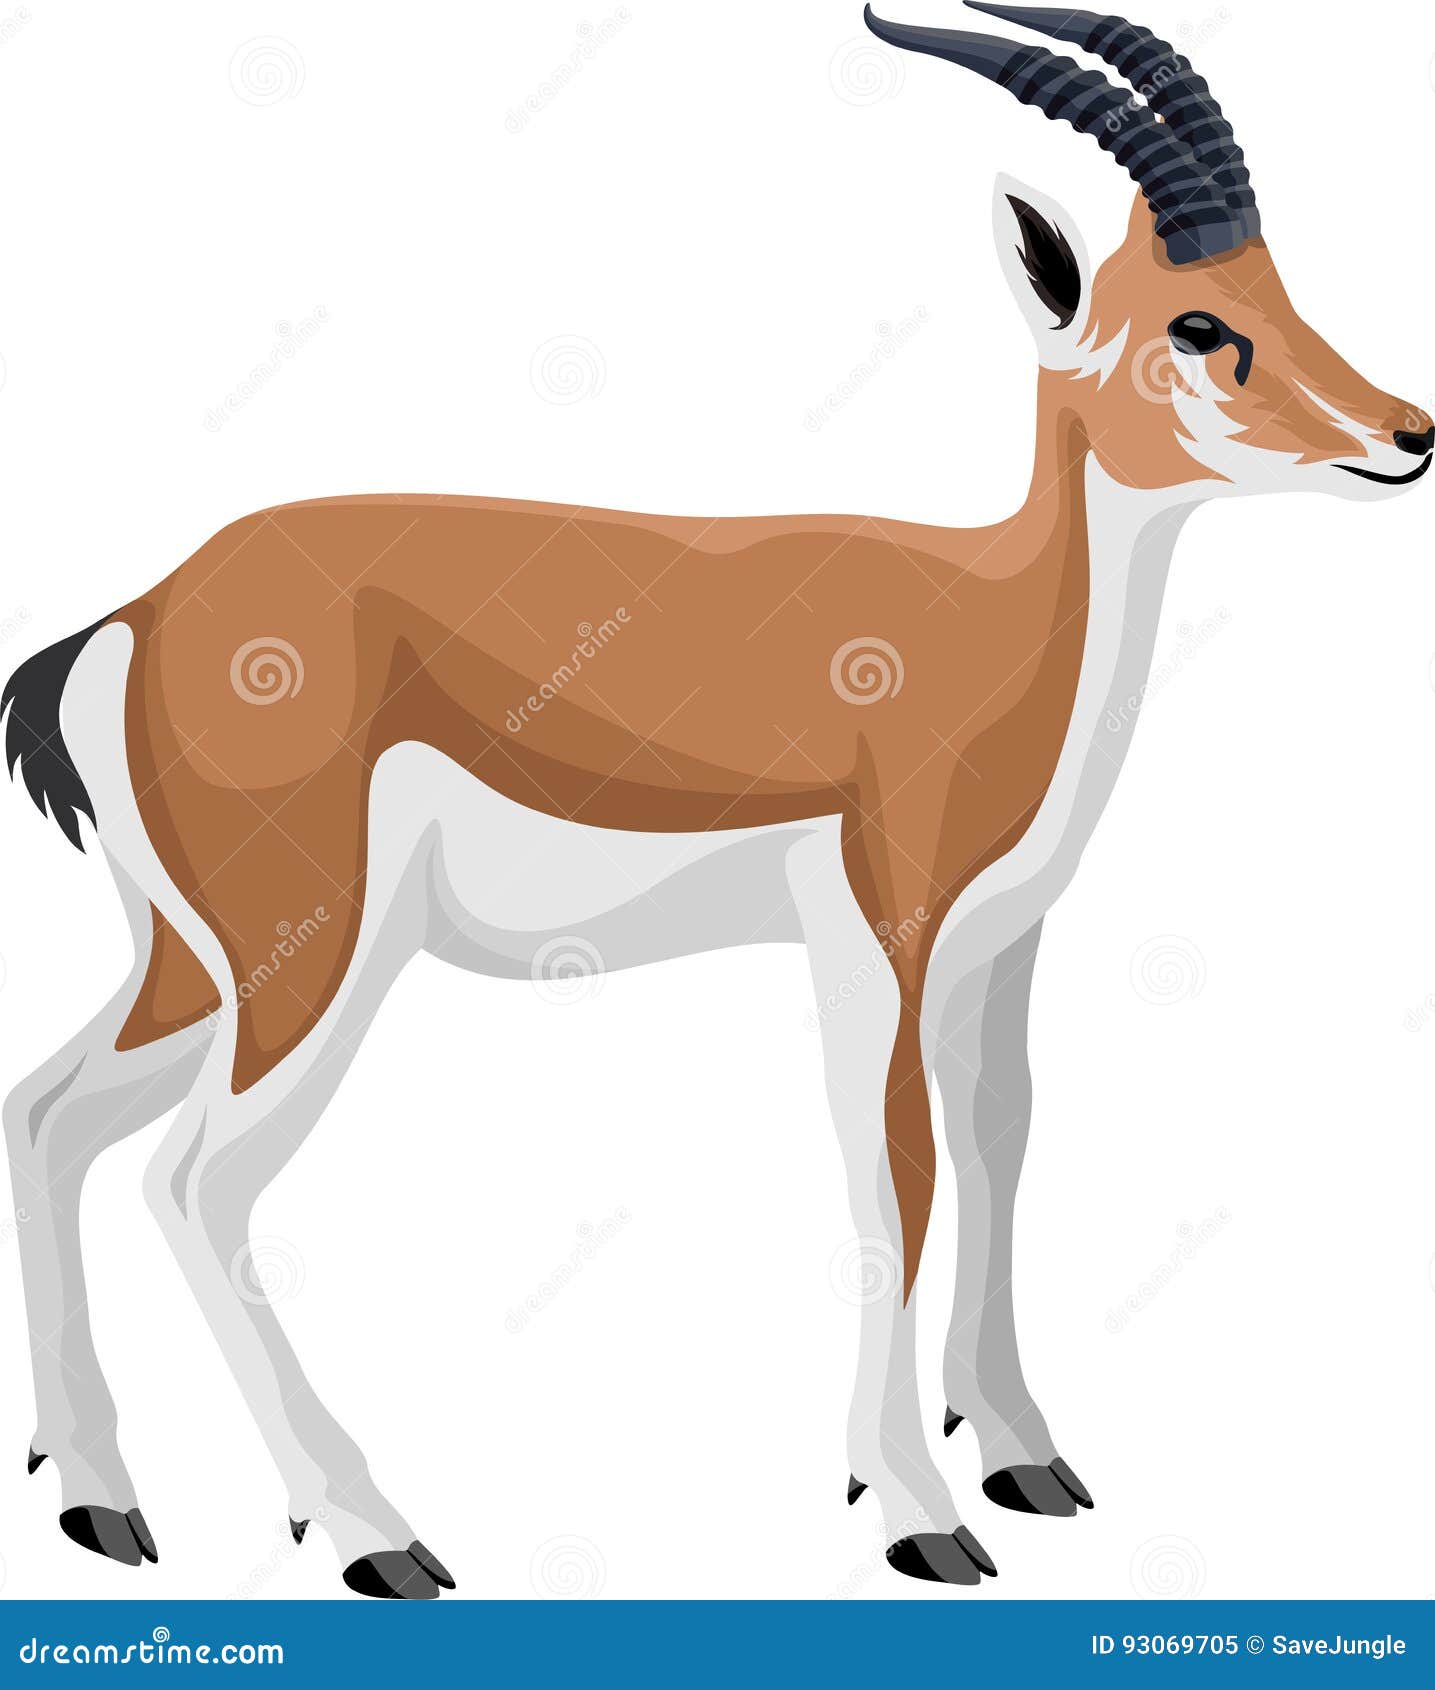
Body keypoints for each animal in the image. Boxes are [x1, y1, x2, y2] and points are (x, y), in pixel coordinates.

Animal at [3, 3, 1429, 1599]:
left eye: (1275, 290)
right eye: (1193, 324)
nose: (1407, 432)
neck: (999, 620)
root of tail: (136, 614)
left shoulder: (997, 945)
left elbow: (998, 1135)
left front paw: (1022, 1459)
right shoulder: (883, 928)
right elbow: (894, 1171)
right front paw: (914, 1510)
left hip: (197, 960)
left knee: (45, 1116)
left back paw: (100, 1503)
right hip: (305, 957)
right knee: (194, 1182)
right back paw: (376, 1534)